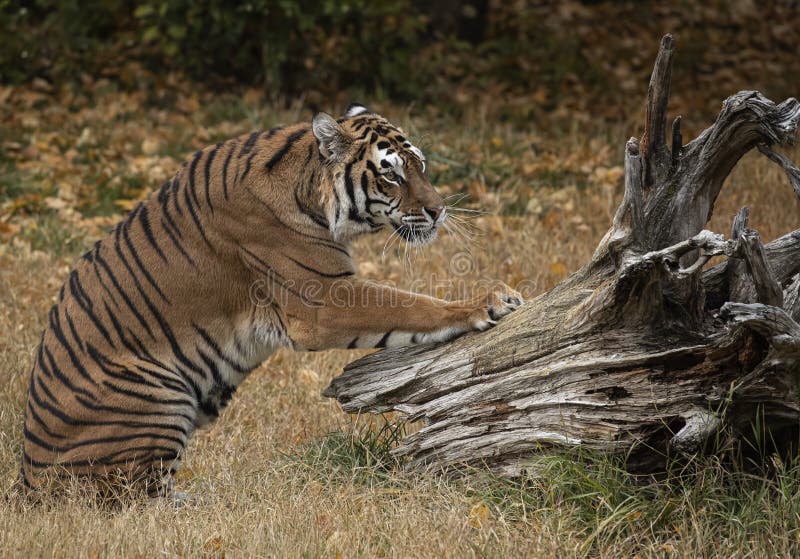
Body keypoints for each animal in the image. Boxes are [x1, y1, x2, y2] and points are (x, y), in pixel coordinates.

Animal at [20, 103, 523, 499]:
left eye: (420, 166)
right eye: (391, 173)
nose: (439, 212)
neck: (309, 188)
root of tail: (26, 483)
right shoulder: (326, 296)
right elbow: (410, 304)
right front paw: (491, 300)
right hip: (157, 391)